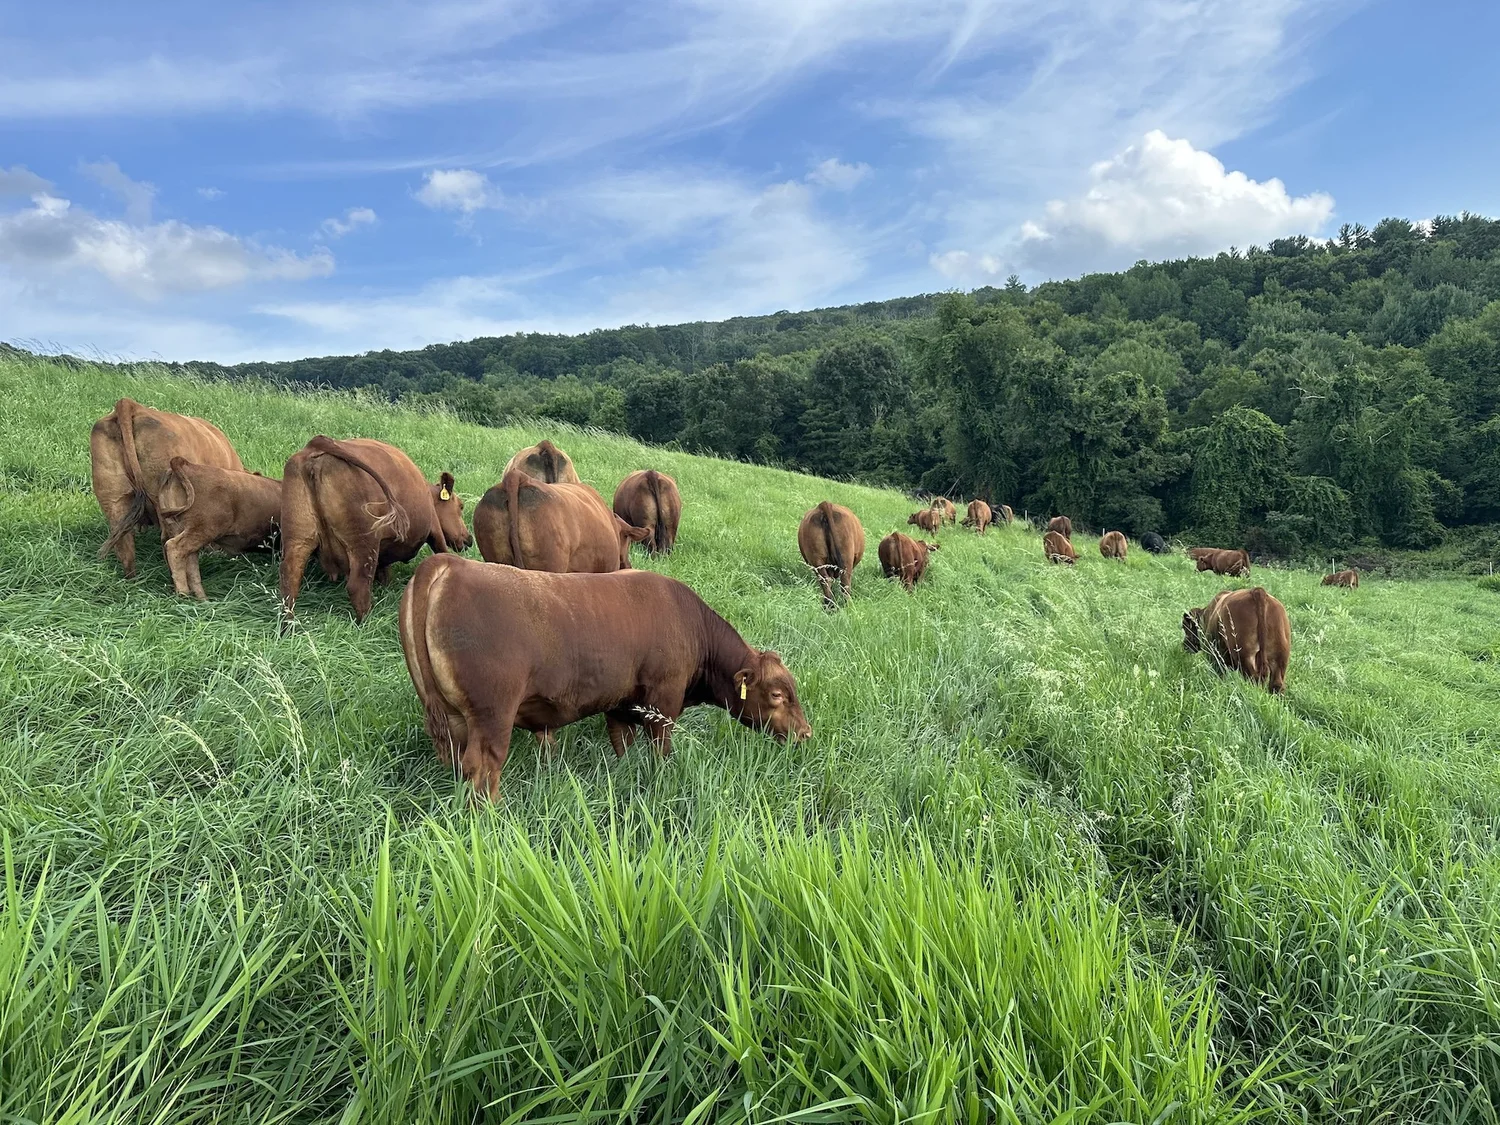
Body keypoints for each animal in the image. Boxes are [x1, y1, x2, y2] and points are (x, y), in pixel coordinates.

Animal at [155, 458, 280, 600]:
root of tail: (186, 464)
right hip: (203, 530)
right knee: (174, 548)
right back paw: (183, 595)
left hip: (184, 530)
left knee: (190, 564)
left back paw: (202, 600)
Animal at [279, 436, 471, 624]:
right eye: (460, 506)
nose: (469, 538)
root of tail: (316, 445)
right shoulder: (435, 531)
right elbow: (441, 552)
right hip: (363, 544)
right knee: (358, 587)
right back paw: (366, 624)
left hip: (297, 538)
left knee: (290, 581)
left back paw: (287, 626)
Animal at [399, 555, 811, 798]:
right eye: (777, 695)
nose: (806, 733)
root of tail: (451, 564)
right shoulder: (662, 706)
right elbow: (661, 752)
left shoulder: (620, 705)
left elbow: (622, 746)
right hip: (492, 716)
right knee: (483, 769)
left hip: (451, 717)